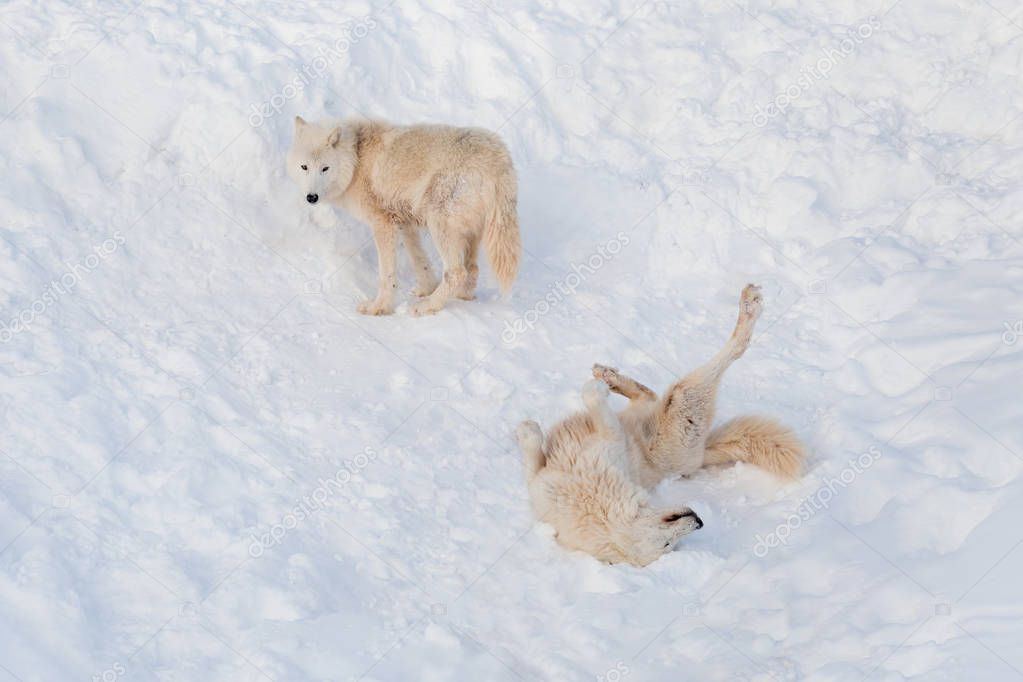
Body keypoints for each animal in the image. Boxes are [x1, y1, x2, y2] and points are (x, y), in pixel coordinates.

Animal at [287, 116, 520, 316]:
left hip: (439, 223)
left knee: (457, 272)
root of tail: (499, 159)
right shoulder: (404, 221)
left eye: (325, 168)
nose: (311, 197)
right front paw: (426, 288)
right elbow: (419, 259)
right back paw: (460, 297)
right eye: (304, 167)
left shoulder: (383, 224)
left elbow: (387, 274)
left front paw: (379, 307)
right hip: (470, 233)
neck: (356, 158)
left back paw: (427, 306)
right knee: (472, 269)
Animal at [517, 285, 805, 567]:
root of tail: (700, 456)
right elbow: (537, 453)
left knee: (720, 355)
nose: (699, 521)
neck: (591, 501)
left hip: (679, 399)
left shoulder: (608, 439)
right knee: (669, 385)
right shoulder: (544, 480)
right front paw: (531, 429)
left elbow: (586, 402)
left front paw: (532, 426)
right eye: (668, 545)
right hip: (680, 403)